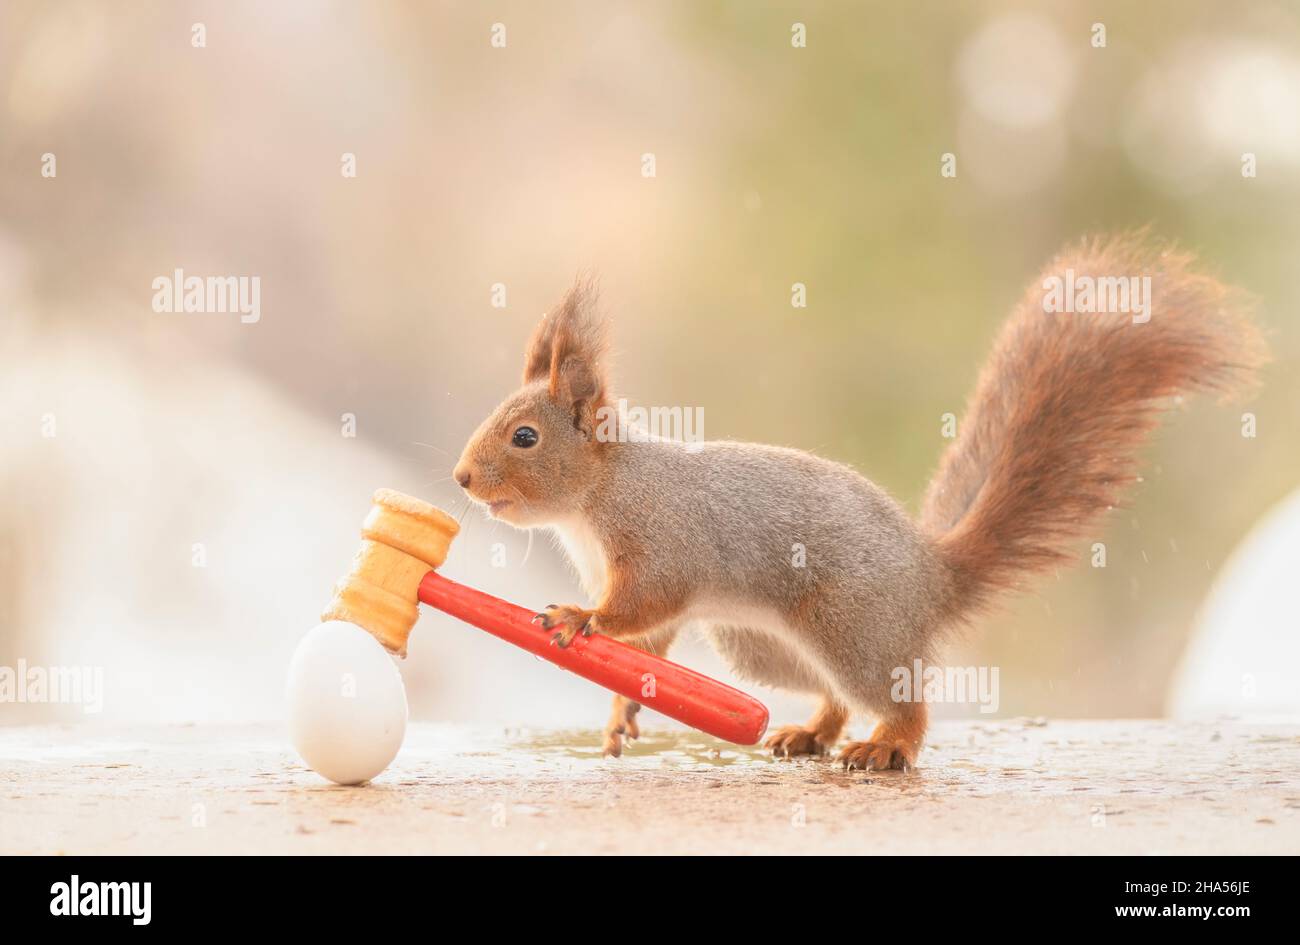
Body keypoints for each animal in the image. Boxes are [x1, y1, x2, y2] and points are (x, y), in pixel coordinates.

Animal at [452, 234, 1266, 769]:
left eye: (524, 436)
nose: (461, 478)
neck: (593, 499)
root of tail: (931, 579)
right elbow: (647, 646)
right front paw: (621, 711)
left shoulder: (661, 541)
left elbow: (641, 604)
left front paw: (578, 618)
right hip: (759, 645)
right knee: (832, 694)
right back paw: (811, 732)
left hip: (850, 625)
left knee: (900, 697)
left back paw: (888, 746)